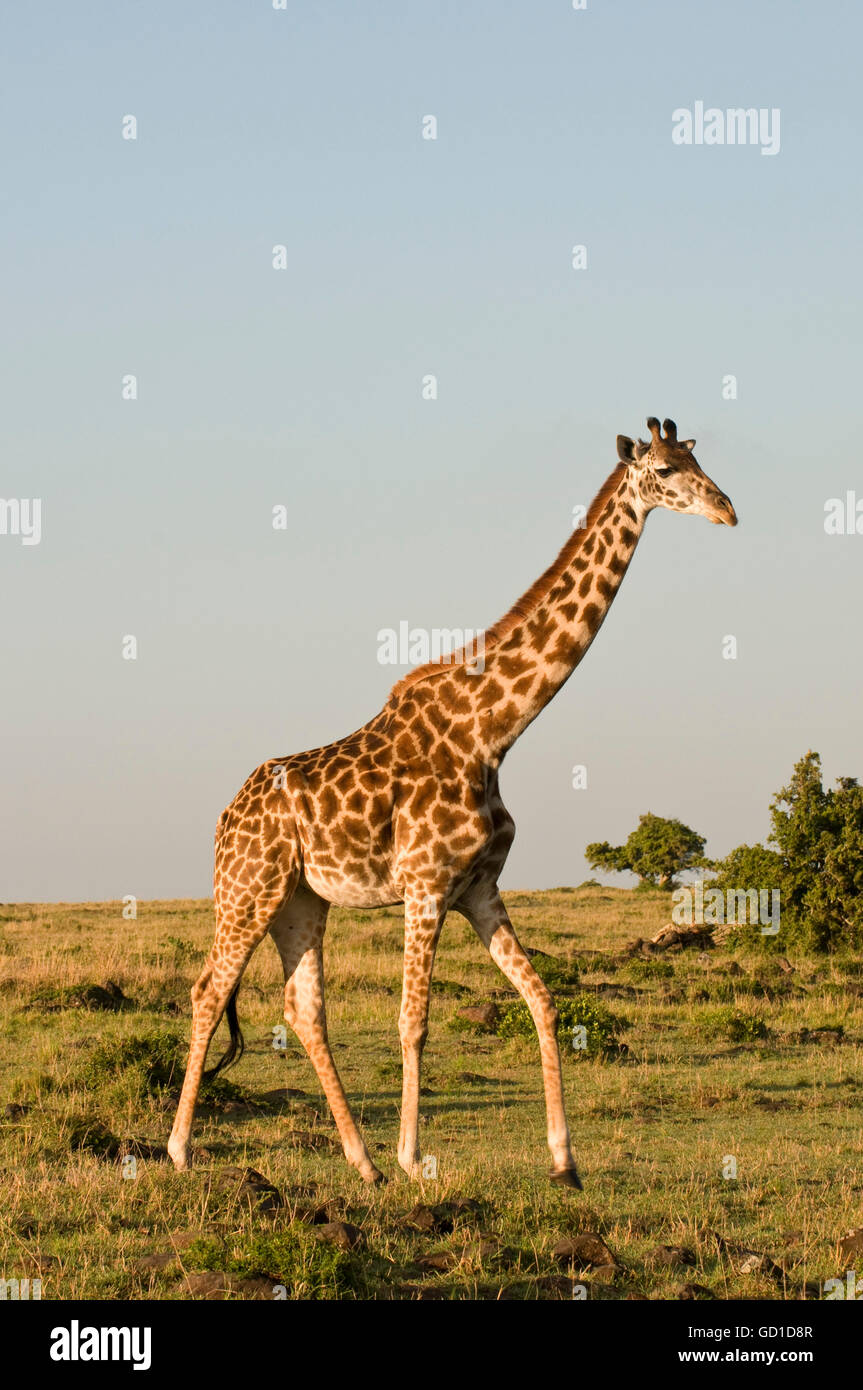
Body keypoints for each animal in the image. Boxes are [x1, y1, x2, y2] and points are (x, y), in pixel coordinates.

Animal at [168, 417, 737, 1187]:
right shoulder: (427, 884)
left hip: (300, 898)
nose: (727, 510)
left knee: (304, 1008)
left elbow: (542, 999)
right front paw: (414, 1158)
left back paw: (362, 1162)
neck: (493, 732)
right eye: (666, 471)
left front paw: (564, 1161)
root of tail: (224, 819)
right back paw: (181, 1150)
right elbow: (414, 1021)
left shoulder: (480, 888)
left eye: (696, 458)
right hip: (246, 889)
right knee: (208, 990)